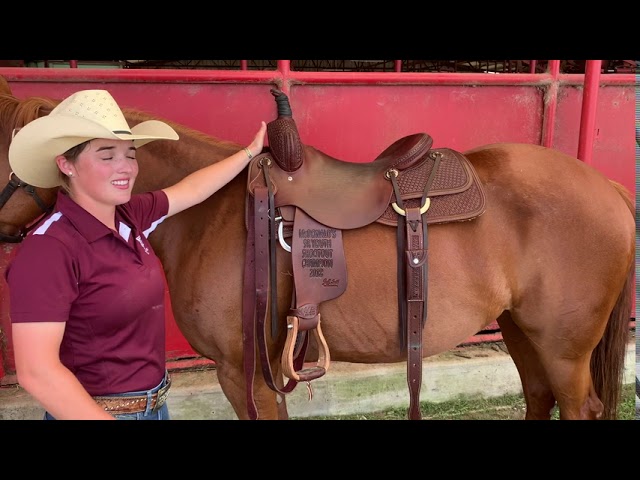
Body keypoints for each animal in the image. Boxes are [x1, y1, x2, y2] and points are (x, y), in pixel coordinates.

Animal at [0, 83, 634, 420]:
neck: (209, 214)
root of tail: (608, 186)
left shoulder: (243, 372)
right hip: (522, 331)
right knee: (538, 396)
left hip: (563, 346)